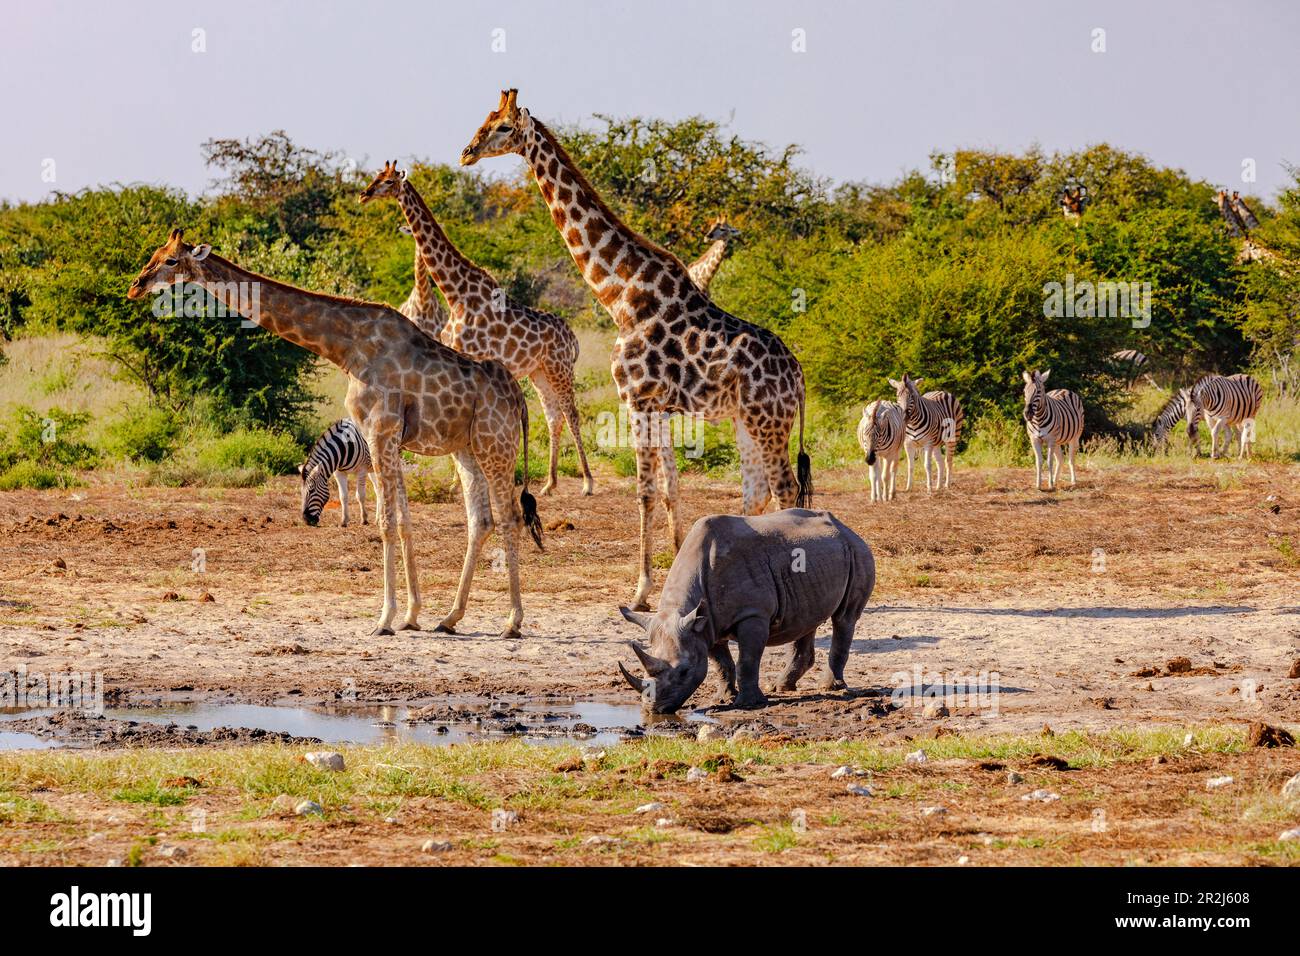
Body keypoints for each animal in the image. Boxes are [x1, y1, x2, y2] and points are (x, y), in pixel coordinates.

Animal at [127, 229, 543, 638]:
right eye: (152, 254)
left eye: (170, 260)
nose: (135, 286)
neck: (347, 348)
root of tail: (520, 399)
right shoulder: (390, 439)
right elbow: (405, 522)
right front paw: (412, 615)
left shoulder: (380, 431)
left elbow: (385, 522)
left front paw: (384, 619)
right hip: (466, 450)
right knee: (481, 521)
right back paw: (450, 618)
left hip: (496, 444)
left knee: (510, 516)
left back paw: (513, 622)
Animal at [360, 162, 594, 496]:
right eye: (376, 177)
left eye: (389, 181)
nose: (364, 194)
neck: (455, 293)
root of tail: (573, 338)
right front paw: (456, 482)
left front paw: (460, 482)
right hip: (539, 371)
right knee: (553, 417)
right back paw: (550, 483)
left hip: (559, 367)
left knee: (571, 413)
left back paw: (587, 482)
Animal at [460, 90, 812, 610]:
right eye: (485, 120)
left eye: (502, 127)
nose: (466, 152)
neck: (622, 296)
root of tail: (800, 376)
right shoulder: (659, 407)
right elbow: (669, 487)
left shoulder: (637, 401)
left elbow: (644, 492)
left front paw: (642, 590)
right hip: (746, 422)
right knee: (757, 493)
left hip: (768, 421)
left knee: (785, 489)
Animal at [618, 509, 875, 713]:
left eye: (684, 671)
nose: (655, 708)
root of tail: (846, 527)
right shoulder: (706, 624)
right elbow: (722, 664)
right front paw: (724, 698)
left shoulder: (753, 614)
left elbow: (747, 660)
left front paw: (748, 703)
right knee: (807, 619)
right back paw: (781, 687)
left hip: (858, 551)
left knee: (844, 618)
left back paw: (830, 686)